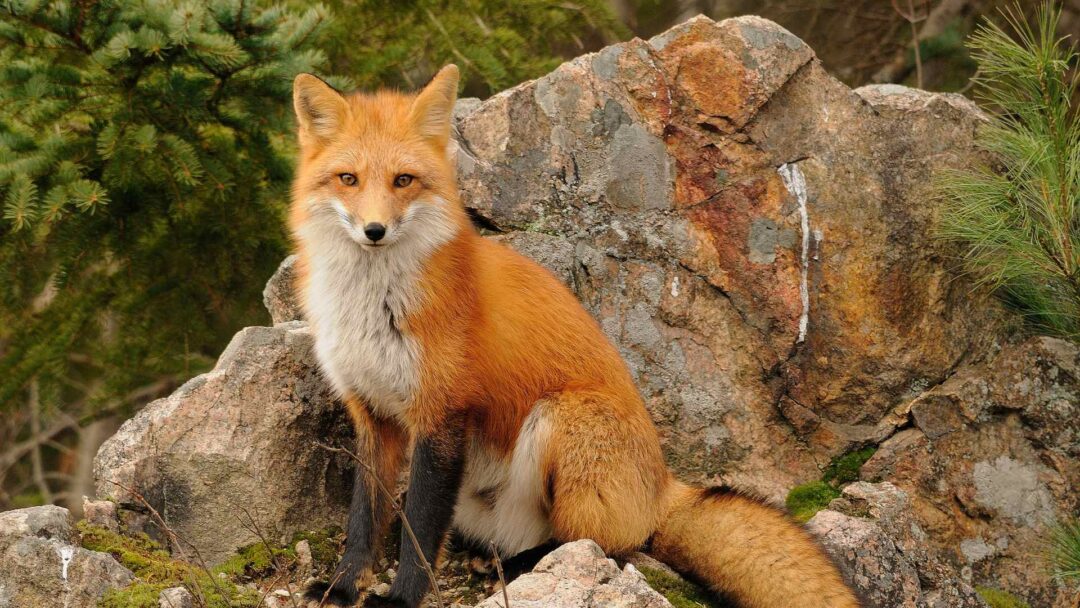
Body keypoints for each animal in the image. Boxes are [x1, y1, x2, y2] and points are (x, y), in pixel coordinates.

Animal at [288, 64, 860, 608]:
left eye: (404, 180)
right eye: (348, 178)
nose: (374, 231)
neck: (372, 307)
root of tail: (661, 485)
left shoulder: (441, 411)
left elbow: (422, 531)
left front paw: (403, 597)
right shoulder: (371, 412)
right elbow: (364, 519)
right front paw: (342, 587)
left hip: (563, 418)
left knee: (595, 543)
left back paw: (524, 566)